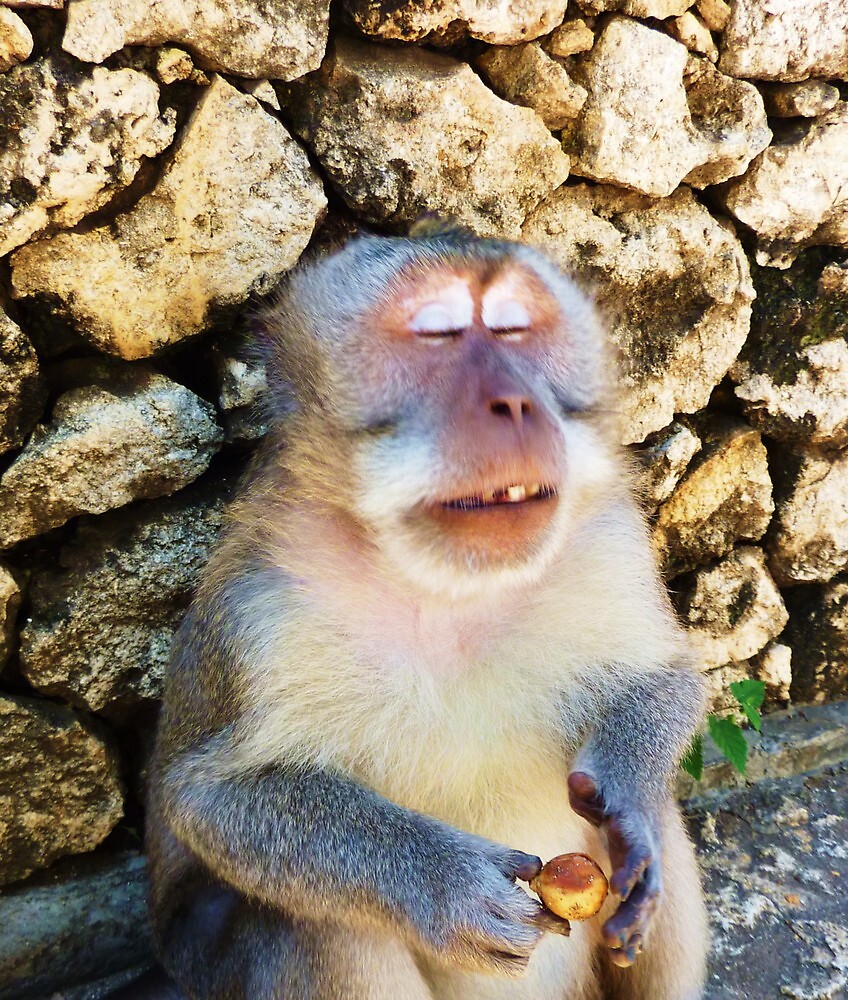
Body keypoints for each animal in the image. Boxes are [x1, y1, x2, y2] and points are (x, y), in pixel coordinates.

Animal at [144, 220, 709, 1000]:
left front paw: (629, 804)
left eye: (514, 328)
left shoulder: (611, 534)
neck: (448, 590)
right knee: (318, 923)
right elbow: (215, 801)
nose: (515, 403)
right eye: (435, 334)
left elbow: (666, 678)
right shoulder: (260, 609)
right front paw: (450, 889)